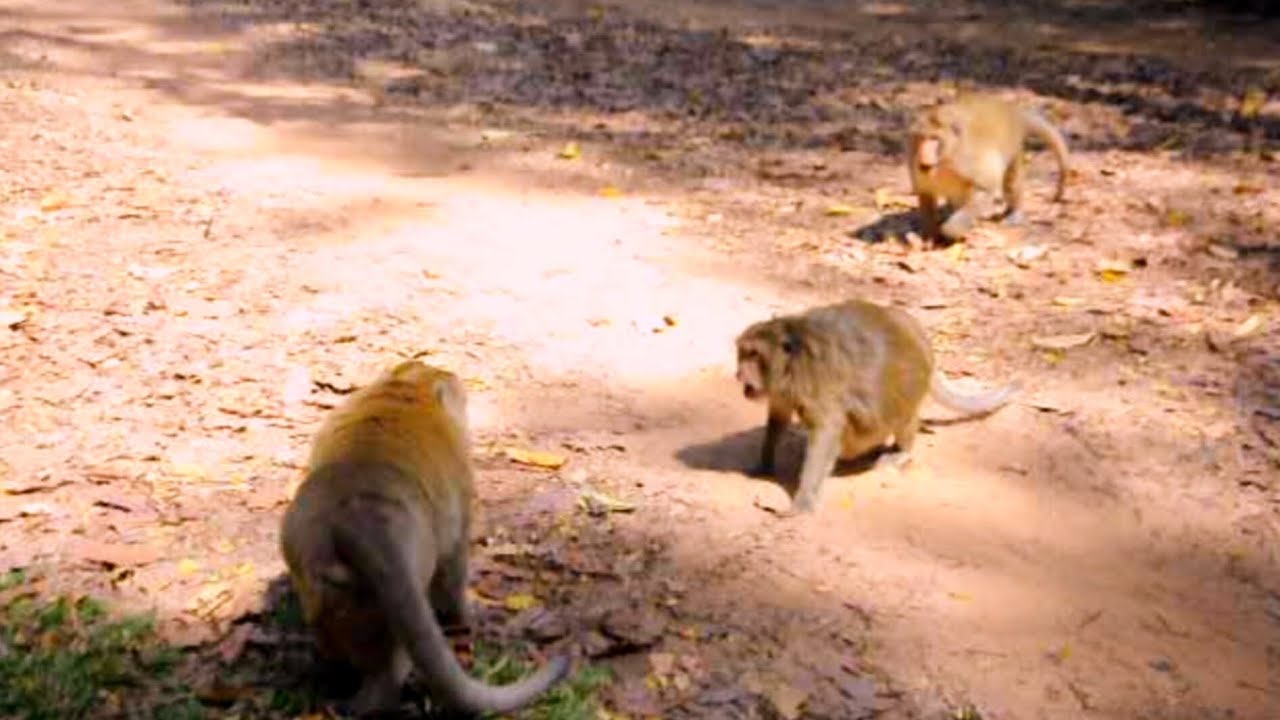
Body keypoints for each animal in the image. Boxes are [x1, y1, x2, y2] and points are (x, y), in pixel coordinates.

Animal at [280, 360, 570, 717]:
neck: (403, 390)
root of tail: (357, 515)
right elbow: (455, 559)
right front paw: (466, 615)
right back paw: (379, 696)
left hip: (318, 571)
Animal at [735, 299, 1018, 514]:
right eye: (742, 353)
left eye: (754, 355)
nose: (739, 374)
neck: (793, 362)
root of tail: (916, 330)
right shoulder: (783, 388)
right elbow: (779, 417)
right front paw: (764, 465)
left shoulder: (818, 380)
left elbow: (826, 434)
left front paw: (803, 502)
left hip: (914, 377)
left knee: (897, 412)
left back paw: (901, 450)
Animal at [908, 93, 1069, 242]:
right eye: (920, 138)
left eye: (934, 139)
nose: (923, 156)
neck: (946, 158)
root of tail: (1010, 110)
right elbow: (926, 194)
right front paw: (929, 234)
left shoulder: (968, 159)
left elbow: (984, 188)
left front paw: (951, 230)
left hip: (1013, 146)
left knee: (1010, 183)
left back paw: (1014, 212)